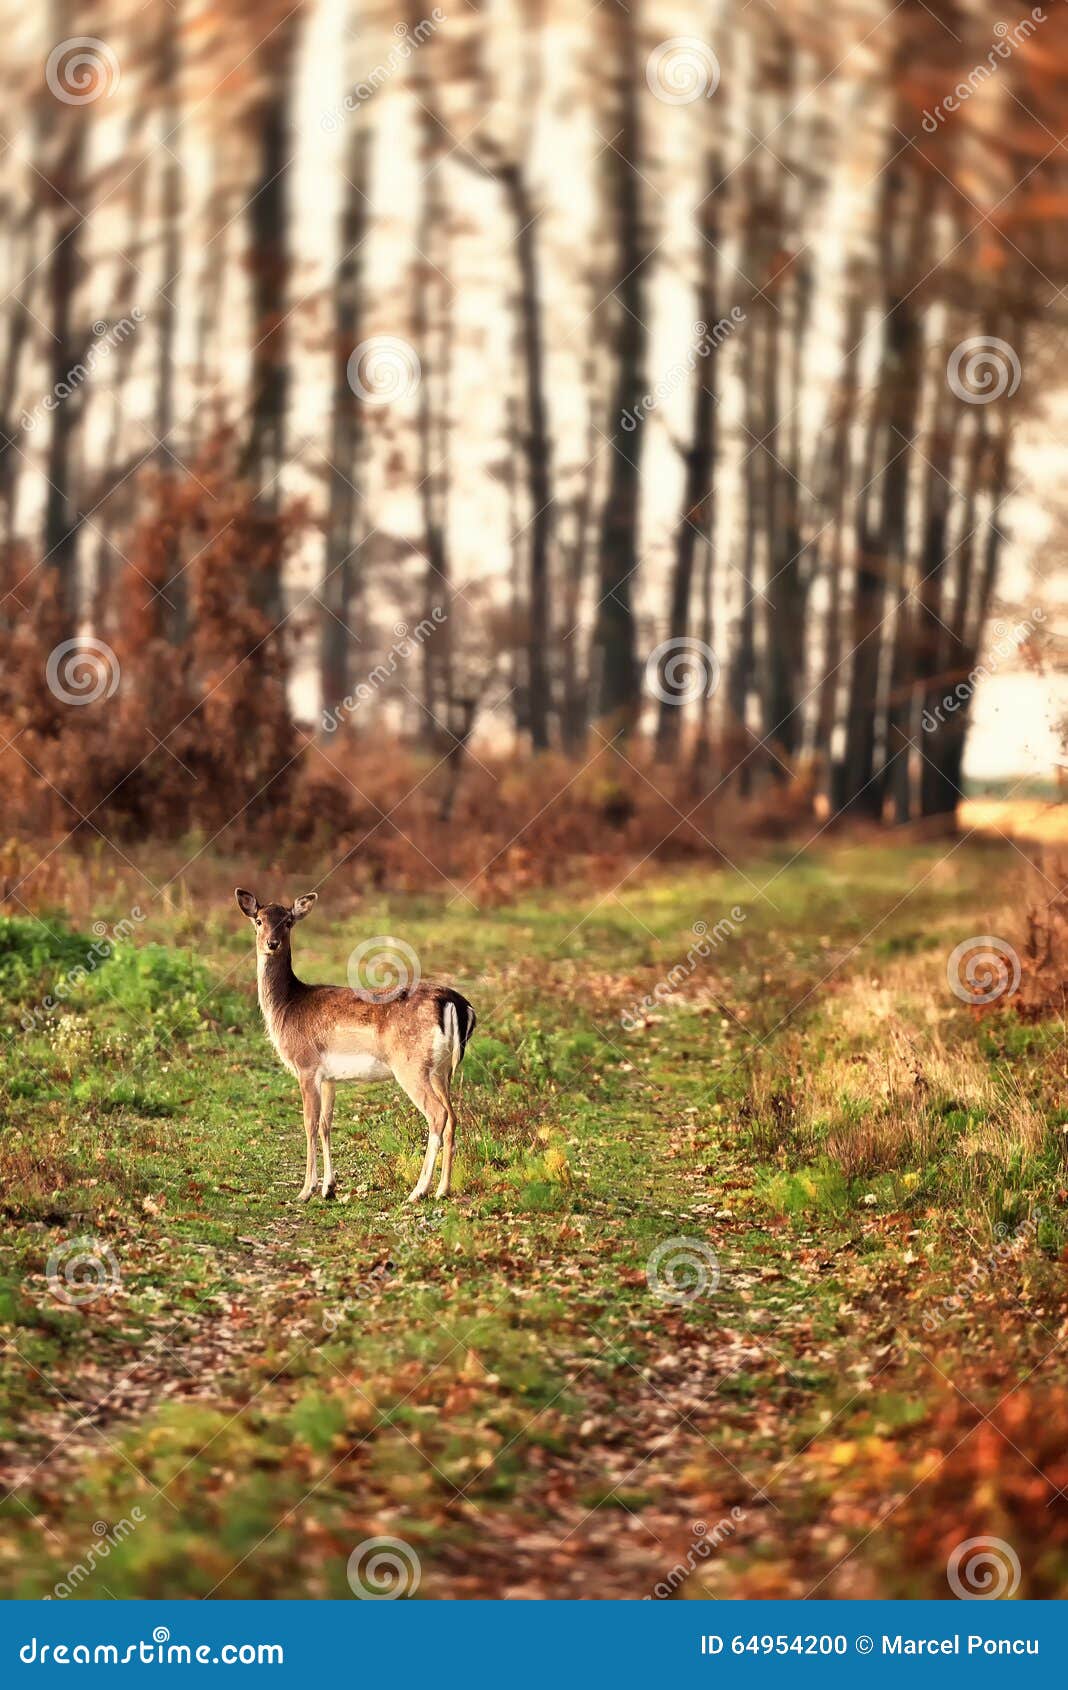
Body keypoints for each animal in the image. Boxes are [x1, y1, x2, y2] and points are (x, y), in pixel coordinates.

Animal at [235, 889, 476, 1203]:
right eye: (259, 920)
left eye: (288, 921)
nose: (271, 944)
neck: (286, 1008)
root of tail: (456, 1003)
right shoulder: (329, 1077)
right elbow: (326, 1124)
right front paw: (328, 1187)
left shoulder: (306, 1065)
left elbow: (309, 1123)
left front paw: (305, 1191)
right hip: (441, 1069)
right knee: (453, 1116)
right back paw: (442, 1189)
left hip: (410, 1064)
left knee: (438, 1114)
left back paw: (418, 1191)